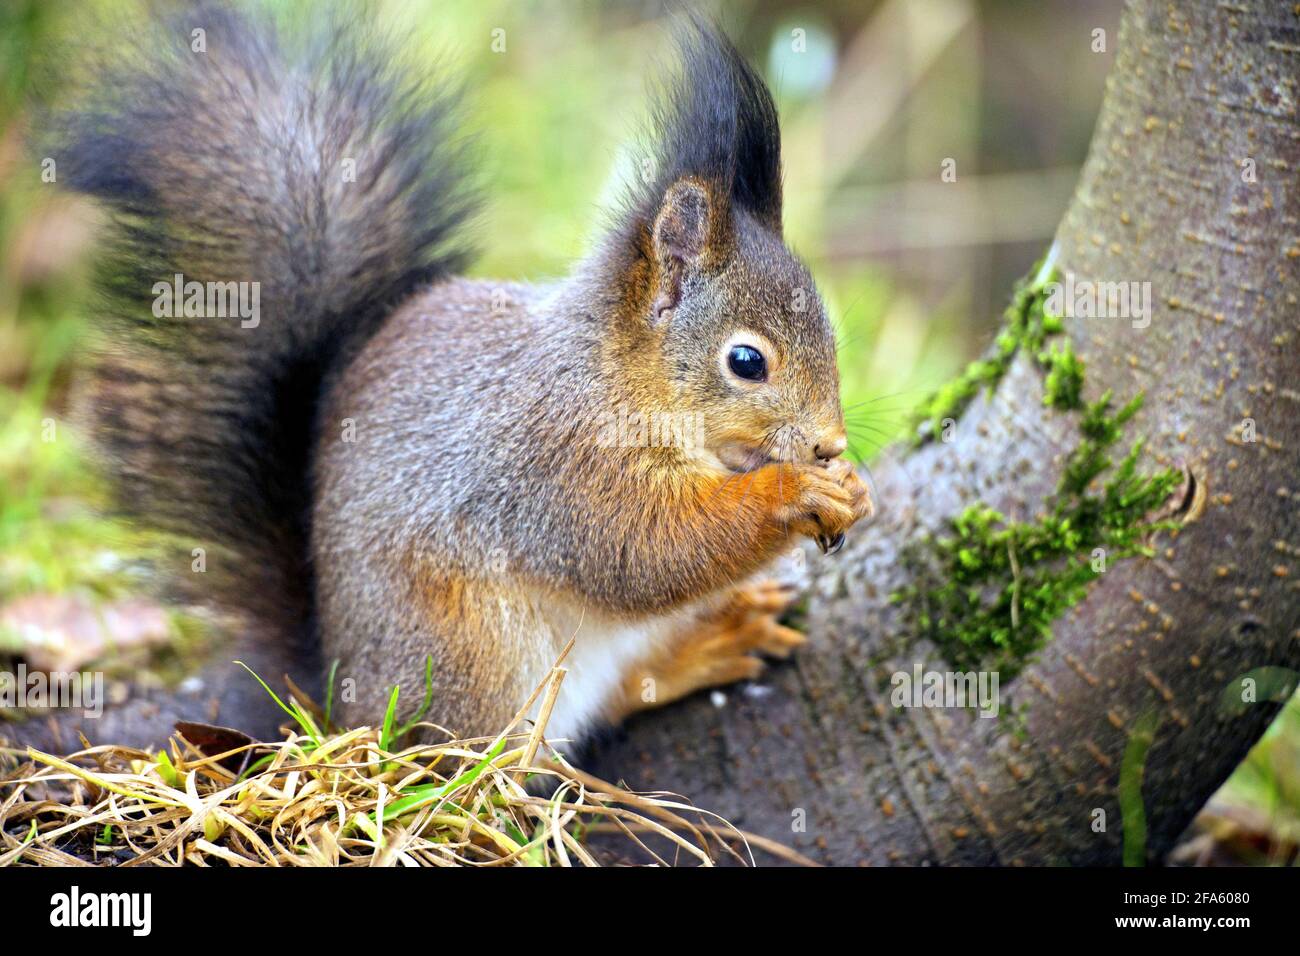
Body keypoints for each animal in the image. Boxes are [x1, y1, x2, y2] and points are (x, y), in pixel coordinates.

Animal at [45, 6, 873, 746]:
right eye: (746, 362)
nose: (831, 442)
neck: (613, 376)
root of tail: (334, 690)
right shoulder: (557, 466)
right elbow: (642, 550)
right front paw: (795, 492)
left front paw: (851, 487)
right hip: (474, 655)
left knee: (614, 696)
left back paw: (710, 644)